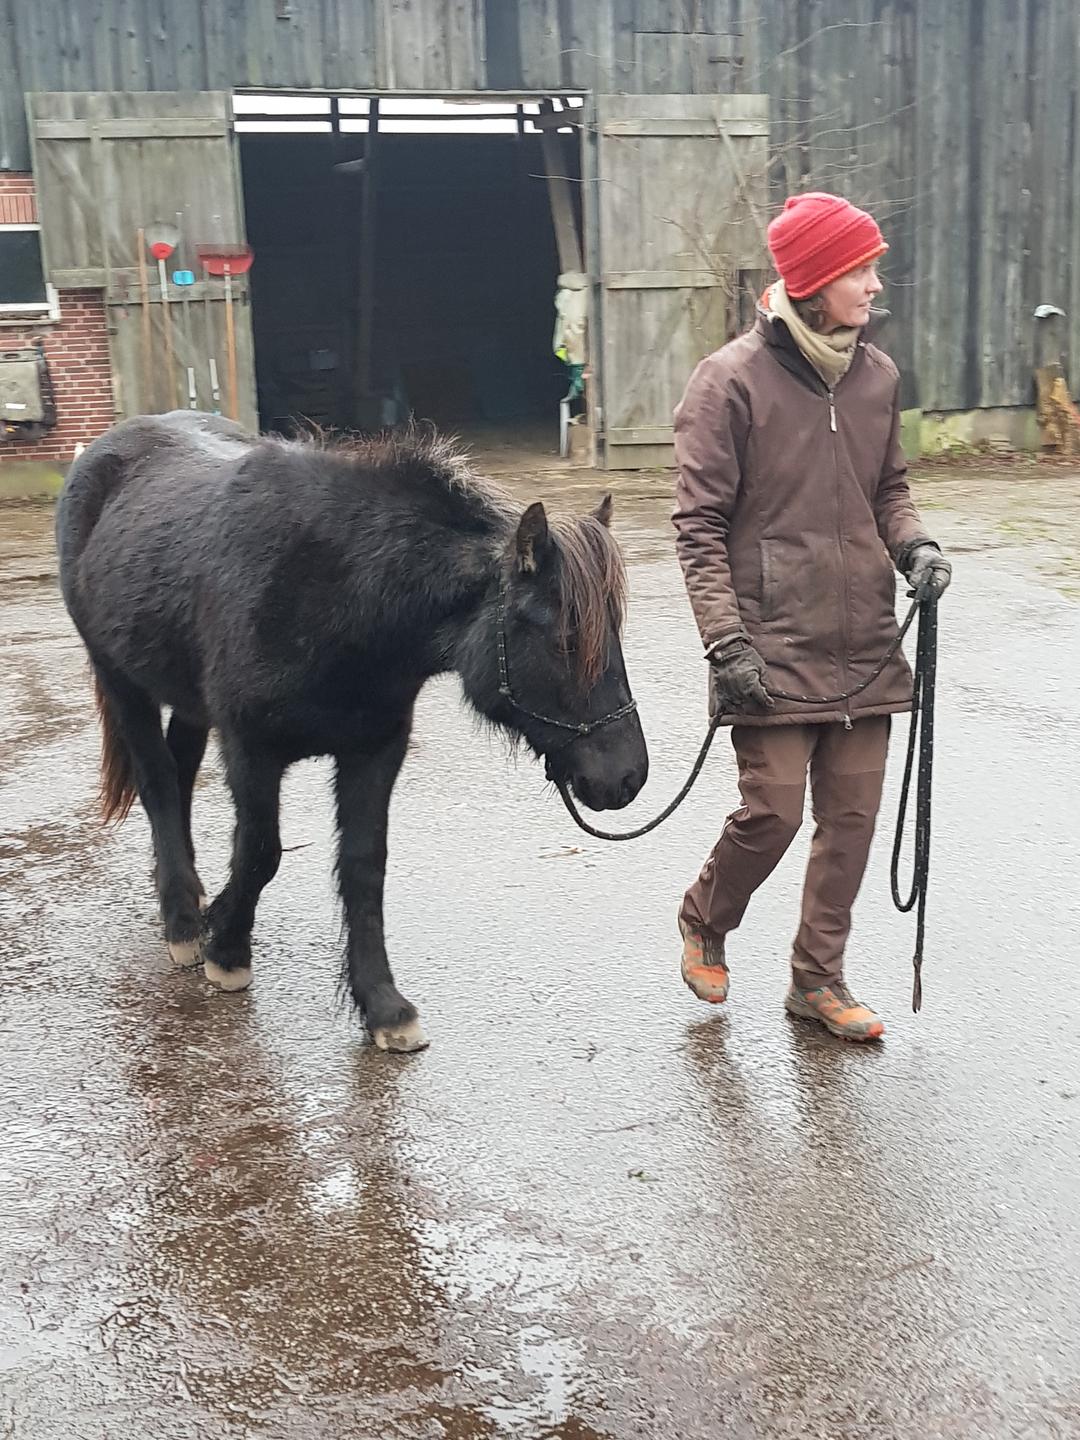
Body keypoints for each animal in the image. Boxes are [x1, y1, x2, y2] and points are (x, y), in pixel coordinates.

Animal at [55, 411, 648, 1051]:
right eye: (564, 641)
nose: (627, 777)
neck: (339, 594)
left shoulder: (374, 752)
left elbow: (365, 867)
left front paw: (383, 1006)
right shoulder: (250, 749)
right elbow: (260, 853)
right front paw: (227, 951)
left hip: (186, 701)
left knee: (180, 773)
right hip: (121, 681)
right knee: (160, 784)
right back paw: (184, 921)